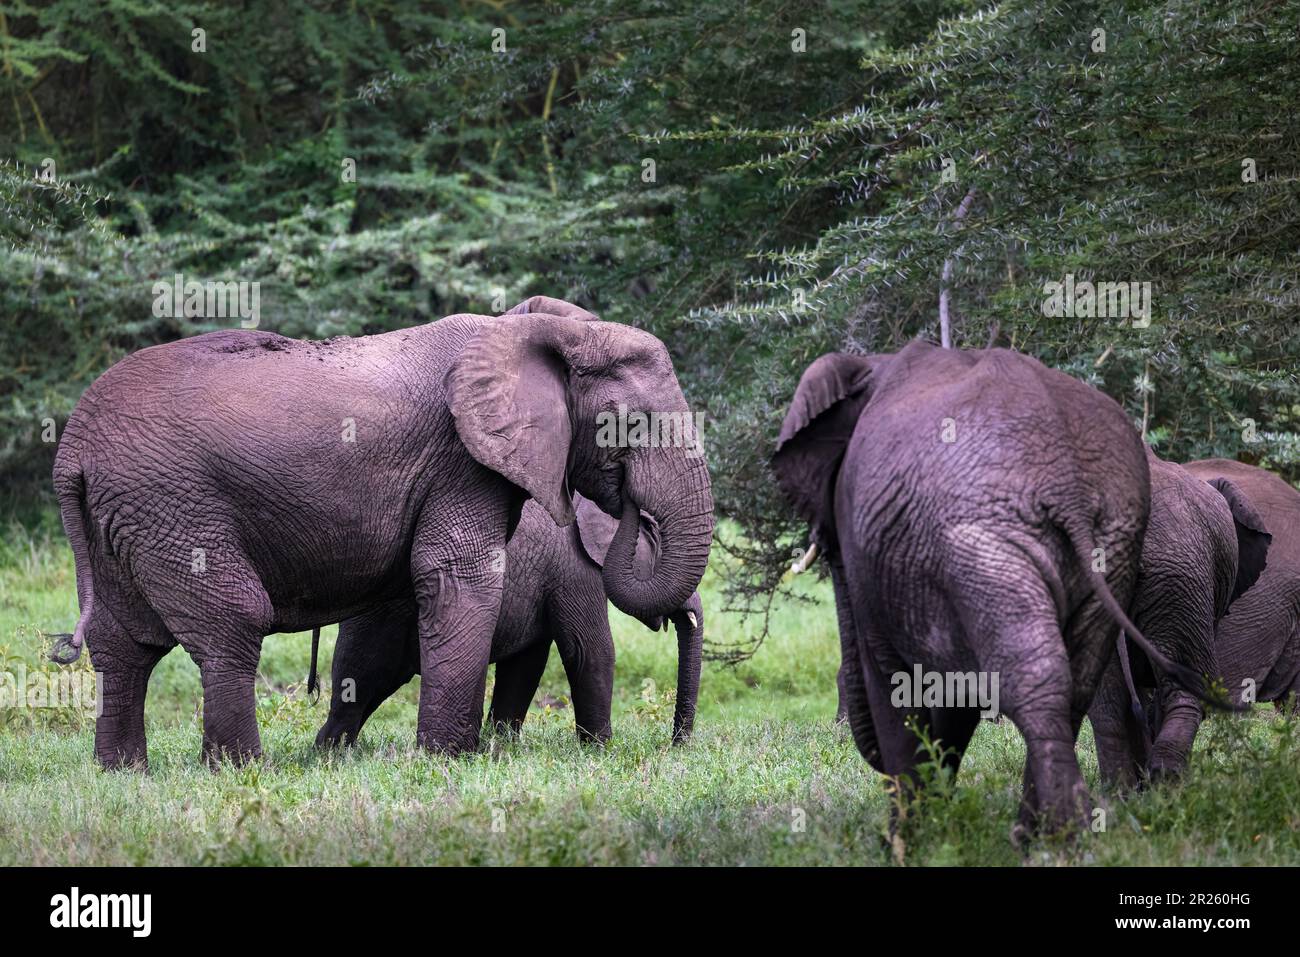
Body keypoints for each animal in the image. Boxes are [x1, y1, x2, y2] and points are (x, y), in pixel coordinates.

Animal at [313, 494, 704, 748]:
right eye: (658, 541)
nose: (676, 744)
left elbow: (526, 664)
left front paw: (501, 745)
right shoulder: (575, 569)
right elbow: (589, 650)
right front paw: (601, 750)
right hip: (380, 615)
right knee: (362, 675)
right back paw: (333, 754)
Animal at [772, 340, 1218, 840]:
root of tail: (1067, 480)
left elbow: (900, 680)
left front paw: (909, 840)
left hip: (984, 538)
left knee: (1035, 677)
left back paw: (1057, 835)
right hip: (1113, 537)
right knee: (1075, 683)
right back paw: (1041, 834)